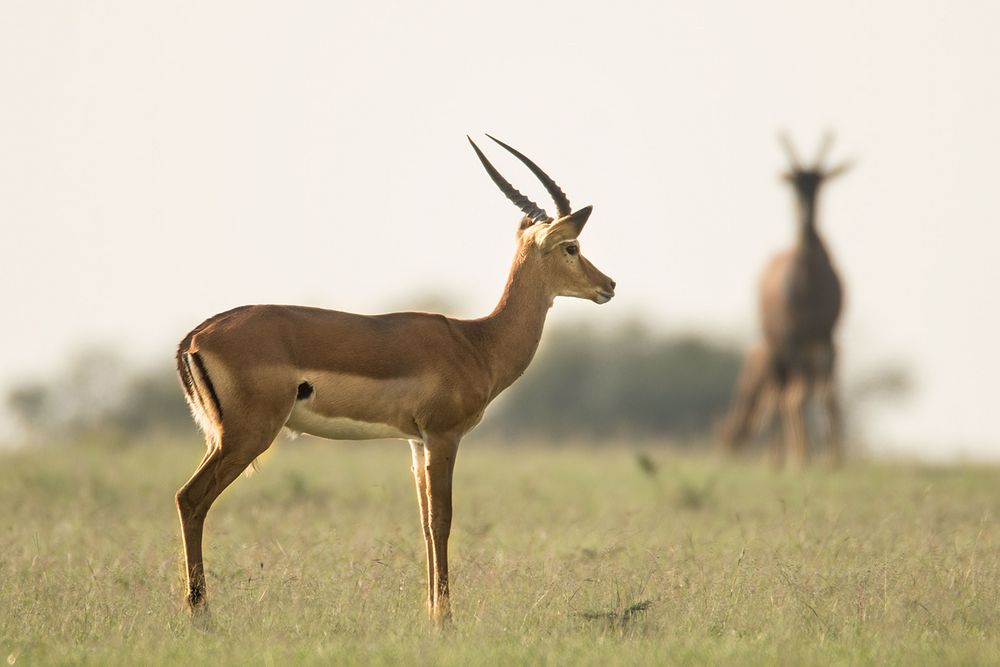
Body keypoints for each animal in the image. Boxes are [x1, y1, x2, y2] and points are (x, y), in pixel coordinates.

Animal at [174, 135, 616, 624]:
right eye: (571, 246)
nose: (609, 286)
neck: (477, 341)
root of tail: (196, 336)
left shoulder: (415, 441)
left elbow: (424, 523)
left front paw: (431, 611)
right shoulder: (444, 435)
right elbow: (442, 520)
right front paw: (444, 618)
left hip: (225, 437)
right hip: (247, 436)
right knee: (191, 498)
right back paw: (200, 613)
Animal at [721, 134, 850, 467]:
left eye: (819, 182)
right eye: (794, 182)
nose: (804, 221)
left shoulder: (825, 336)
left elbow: (823, 397)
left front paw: (830, 460)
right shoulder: (792, 341)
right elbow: (792, 398)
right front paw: (799, 459)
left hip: (807, 352)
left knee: (801, 395)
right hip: (785, 351)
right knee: (785, 396)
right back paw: (781, 458)